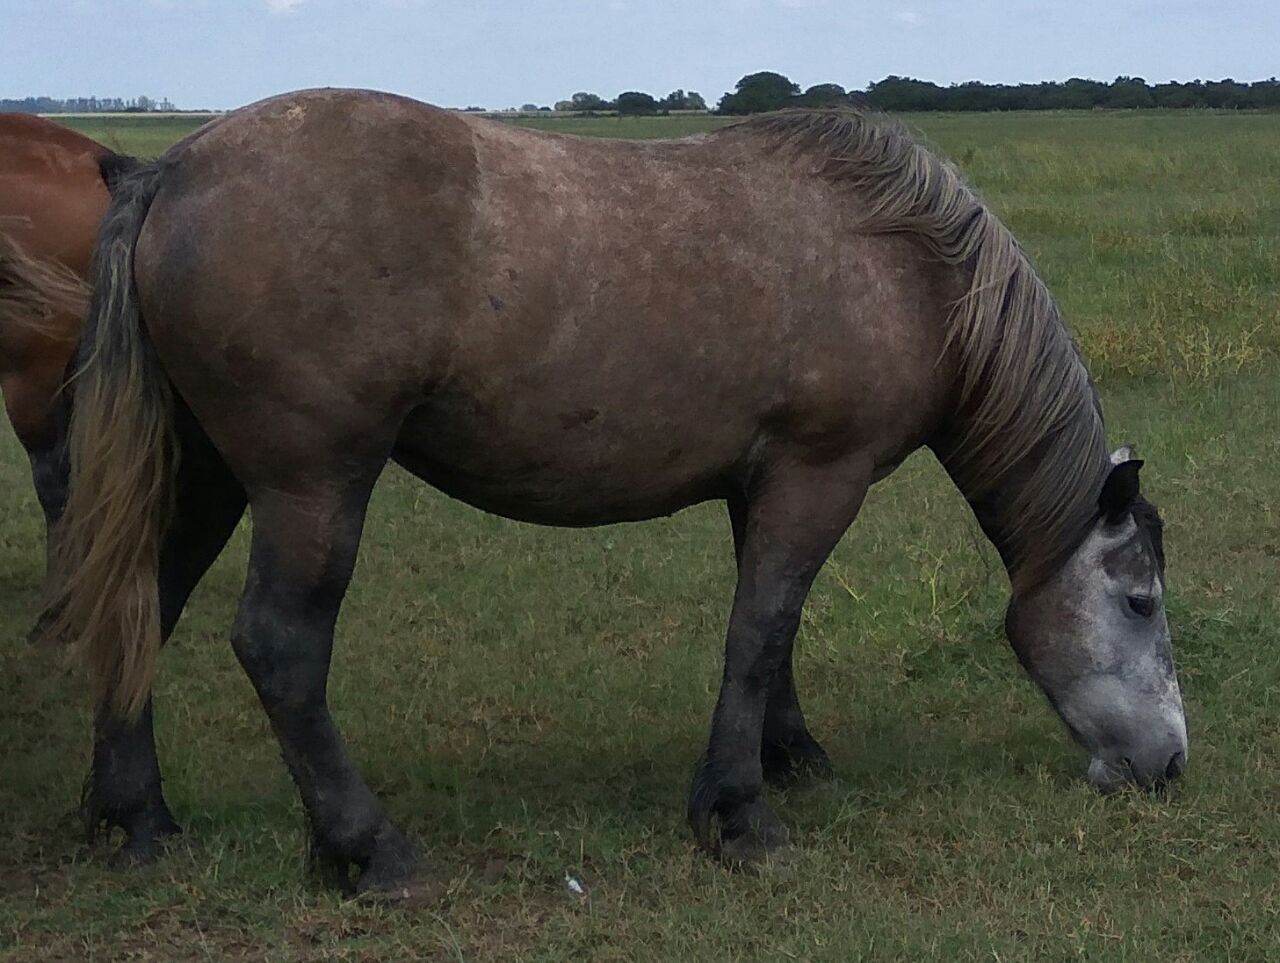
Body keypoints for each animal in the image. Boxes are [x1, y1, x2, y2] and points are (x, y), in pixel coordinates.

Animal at [51, 89, 1187, 893]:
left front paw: (787, 754)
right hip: (311, 486)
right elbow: (758, 630)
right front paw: (738, 816)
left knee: (141, 606)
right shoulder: (817, 477)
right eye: (1139, 602)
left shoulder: (762, 485)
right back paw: (370, 851)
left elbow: (772, 632)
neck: (905, 265)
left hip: (206, 474)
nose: (1170, 766)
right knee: (280, 647)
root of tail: (173, 168)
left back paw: (138, 820)